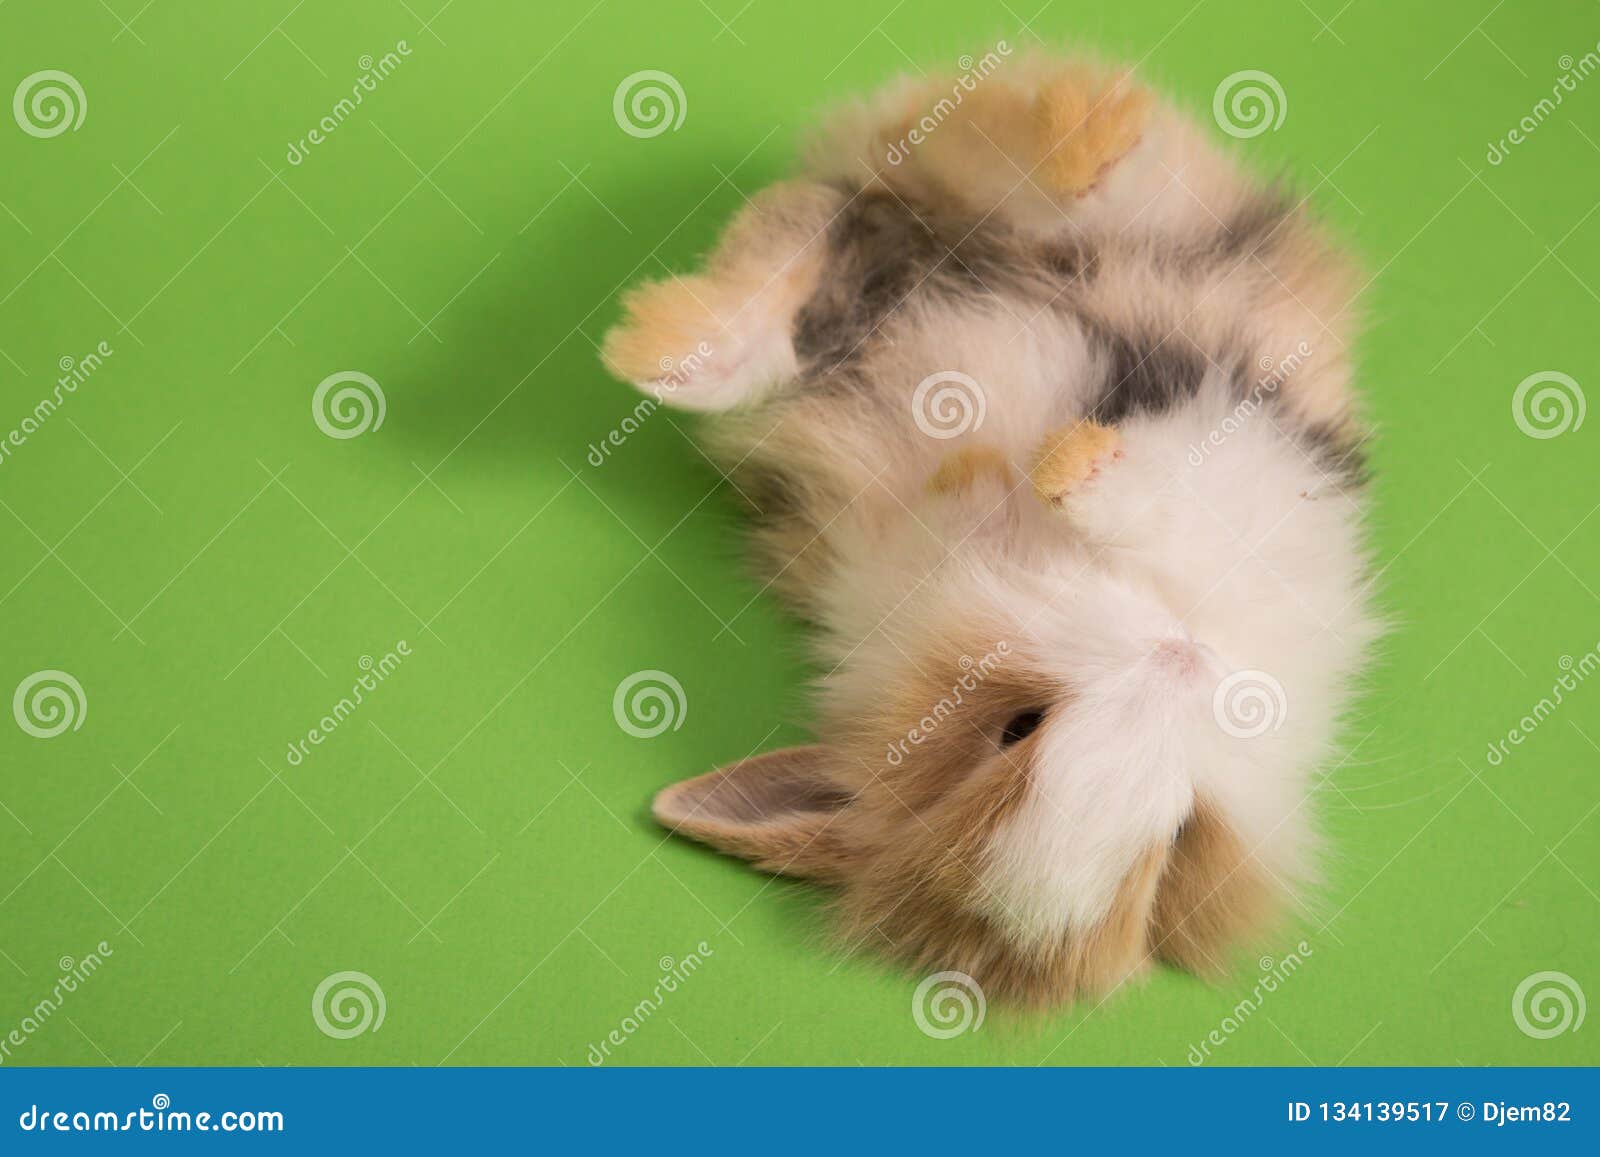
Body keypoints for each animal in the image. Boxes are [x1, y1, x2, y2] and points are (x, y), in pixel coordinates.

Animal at [600, 54, 1380, 1008]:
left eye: (1174, 839)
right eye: (1019, 727)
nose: (1178, 658)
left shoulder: (1244, 524)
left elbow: (1146, 508)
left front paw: (1047, 468)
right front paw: (1014, 472)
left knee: (858, 210)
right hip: (968, 223)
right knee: (836, 231)